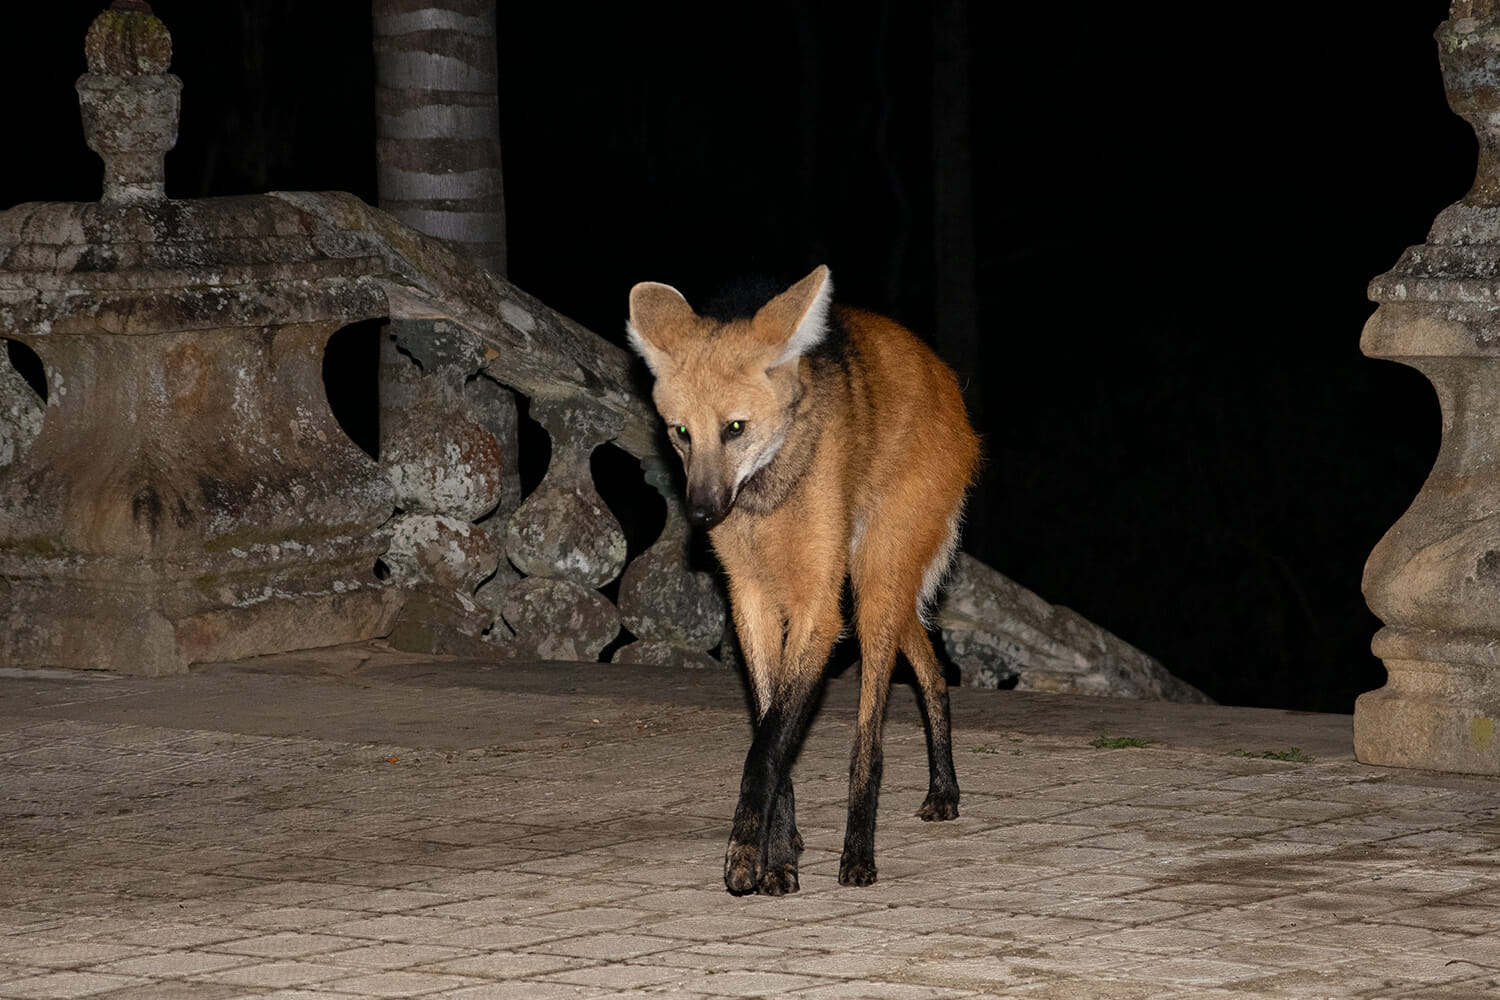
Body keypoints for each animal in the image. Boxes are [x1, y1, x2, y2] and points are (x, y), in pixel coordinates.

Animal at [626, 265, 980, 894]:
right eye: (681, 432)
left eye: (735, 428)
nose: (701, 514)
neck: (767, 495)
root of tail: (941, 371)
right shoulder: (752, 597)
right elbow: (774, 729)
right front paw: (780, 854)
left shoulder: (819, 605)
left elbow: (768, 746)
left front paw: (746, 854)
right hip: (872, 584)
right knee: (932, 669)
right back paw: (943, 787)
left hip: (874, 580)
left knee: (870, 736)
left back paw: (860, 852)